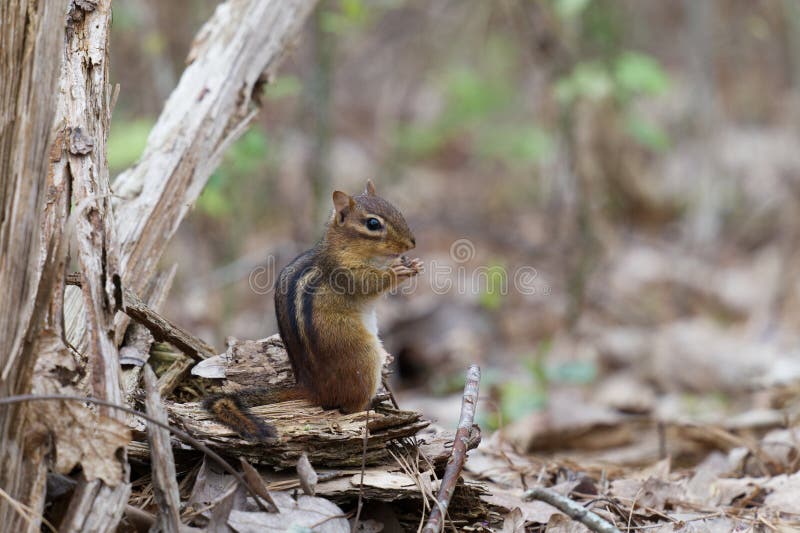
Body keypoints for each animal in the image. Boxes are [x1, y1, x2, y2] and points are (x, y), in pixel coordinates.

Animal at [203, 180, 422, 440]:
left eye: (394, 207)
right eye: (373, 224)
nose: (412, 243)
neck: (344, 248)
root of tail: (311, 388)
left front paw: (412, 263)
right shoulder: (346, 274)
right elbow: (370, 285)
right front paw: (398, 271)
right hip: (364, 356)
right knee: (351, 406)